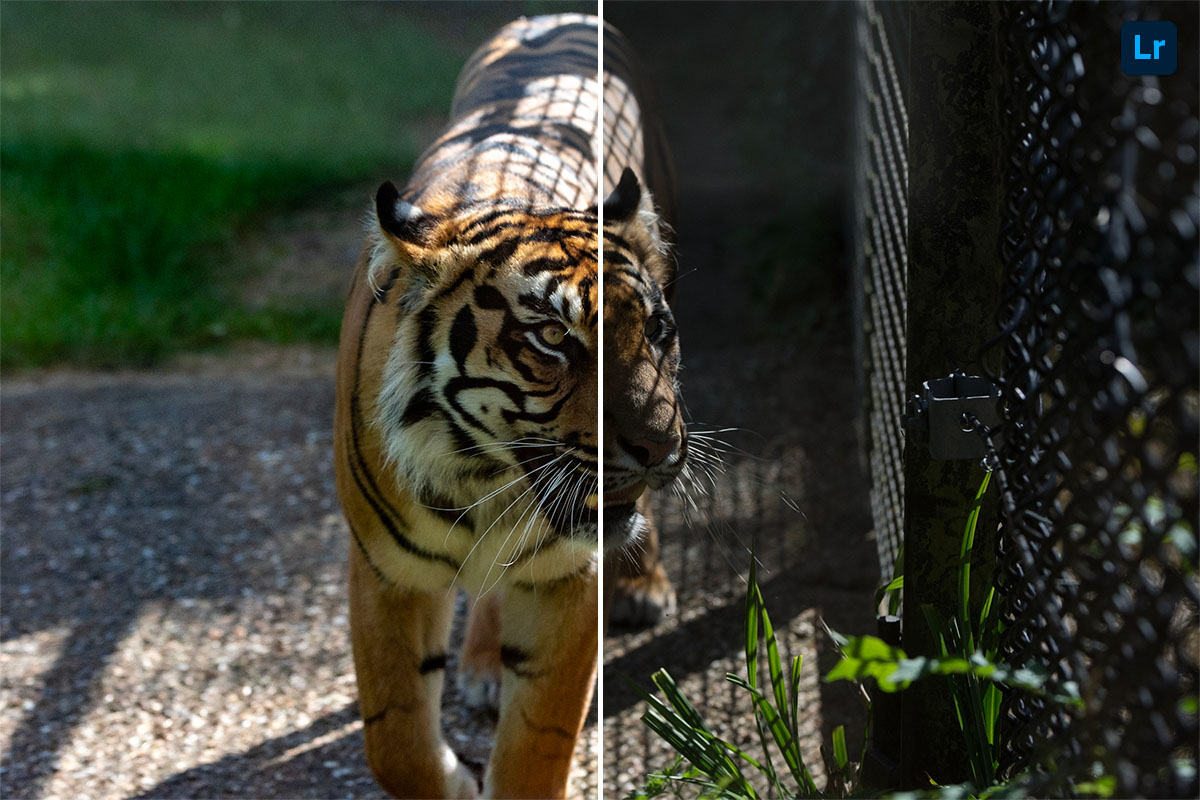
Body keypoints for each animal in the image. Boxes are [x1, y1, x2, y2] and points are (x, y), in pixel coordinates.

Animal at [334, 14, 685, 799]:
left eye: (655, 330)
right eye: (554, 338)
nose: (662, 448)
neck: (482, 474)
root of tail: (562, 16)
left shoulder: (568, 576)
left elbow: (538, 743)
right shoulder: (386, 573)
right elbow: (393, 739)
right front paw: (454, 778)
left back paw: (644, 586)